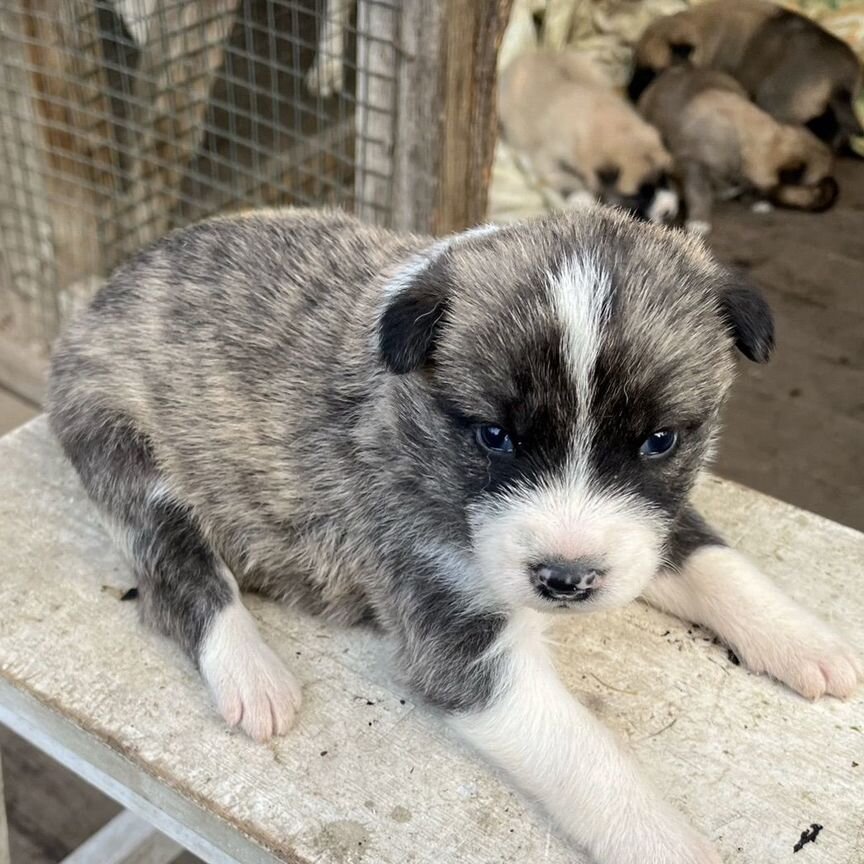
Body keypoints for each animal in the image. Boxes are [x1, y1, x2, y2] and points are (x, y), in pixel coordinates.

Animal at [50, 208, 860, 864]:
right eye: (493, 436)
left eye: (659, 441)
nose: (565, 581)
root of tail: (99, 299)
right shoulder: (460, 635)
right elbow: (587, 756)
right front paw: (666, 843)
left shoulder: (652, 525)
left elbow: (712, 559)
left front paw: (805, 641)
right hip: (126, 454)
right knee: (179, 568)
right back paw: (252, 675)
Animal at [502, 49, 680, 223]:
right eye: (640, 195)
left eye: (665, 178)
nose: (668, 212)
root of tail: (519, 58)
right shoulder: (548, 159)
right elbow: (567, 180)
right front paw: (583, 198)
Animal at [640, 68, 836, 235]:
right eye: (818, 185)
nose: (832, 193)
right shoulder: (694, 164)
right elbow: (699, 193)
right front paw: (699, 221)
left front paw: (757, 201)